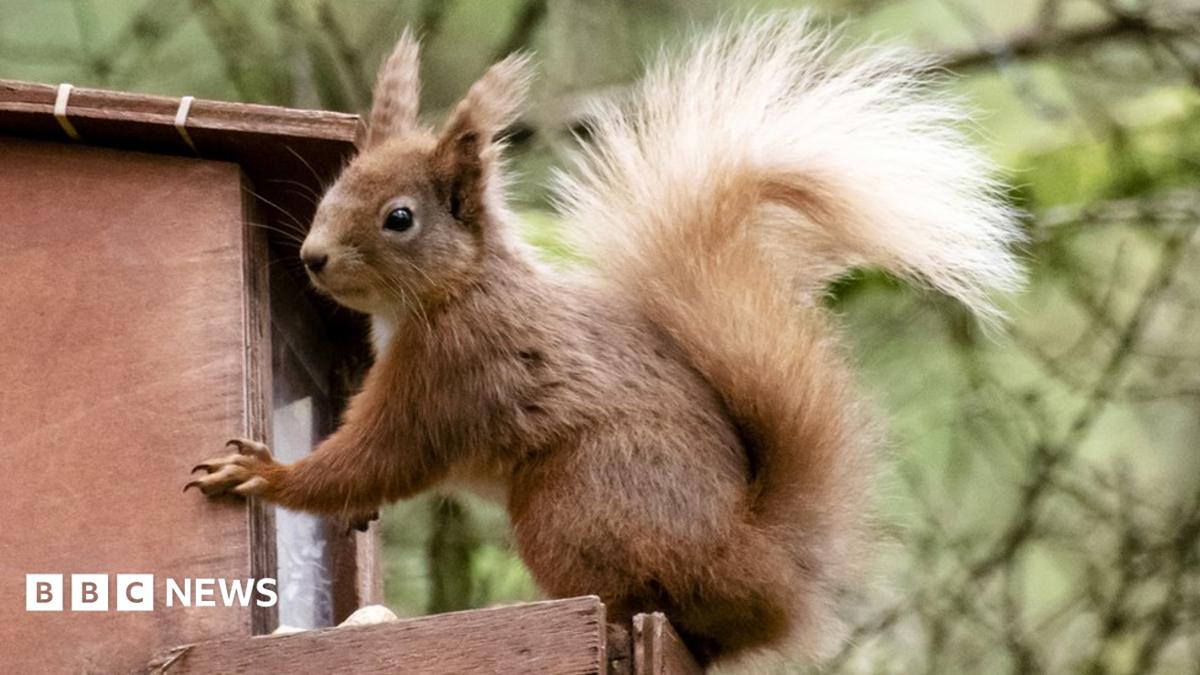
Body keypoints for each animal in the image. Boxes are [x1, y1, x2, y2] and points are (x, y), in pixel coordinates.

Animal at [186, 13, 1023, 666]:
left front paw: (266, 474)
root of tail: (763, 570)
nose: (312, 257)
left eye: (400, 217)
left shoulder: (454, 369)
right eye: (335, 187)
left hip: (572, 505)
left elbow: (380, 456)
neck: (458, 288)